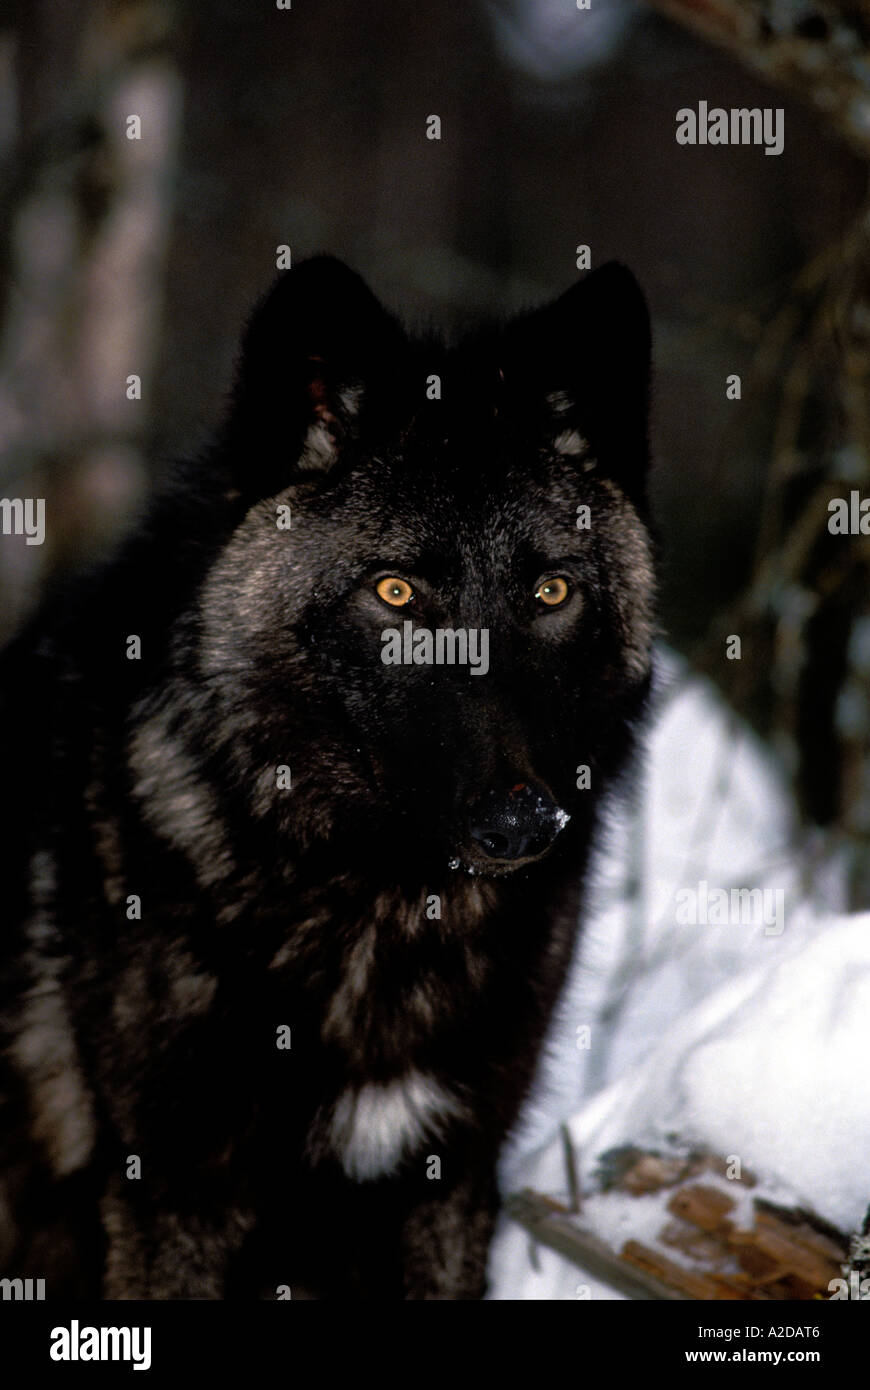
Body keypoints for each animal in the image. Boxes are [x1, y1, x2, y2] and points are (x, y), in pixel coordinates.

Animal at [0, 256, 654, 1299]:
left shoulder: (448, 1181)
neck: (381, 912)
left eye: (551, 592)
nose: (523, 823)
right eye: (396, 593)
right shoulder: (172, 1197)